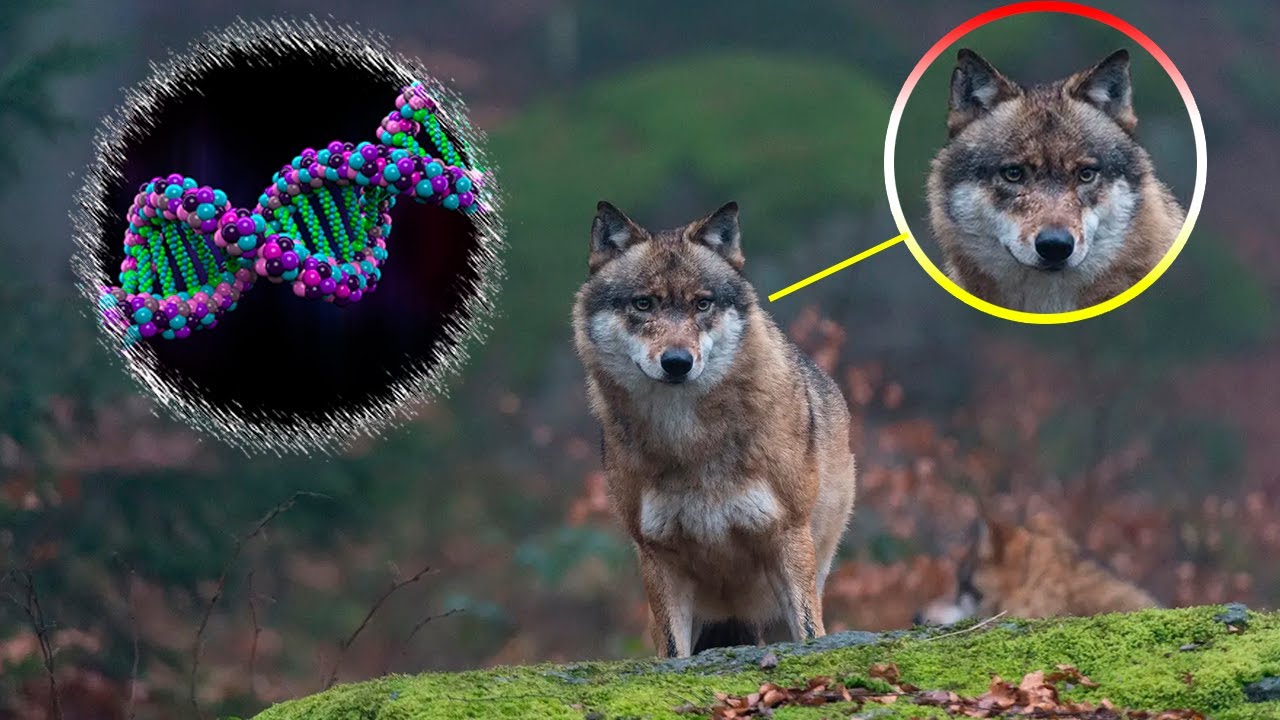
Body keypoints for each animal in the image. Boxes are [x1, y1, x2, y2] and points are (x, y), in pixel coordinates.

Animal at [572, 200, 858, 658]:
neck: (689, 439)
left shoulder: (788, 536)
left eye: (702, 304)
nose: (677, 362)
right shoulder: (657, 555)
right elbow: (674, 652)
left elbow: (810, 632)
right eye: (643, 304)